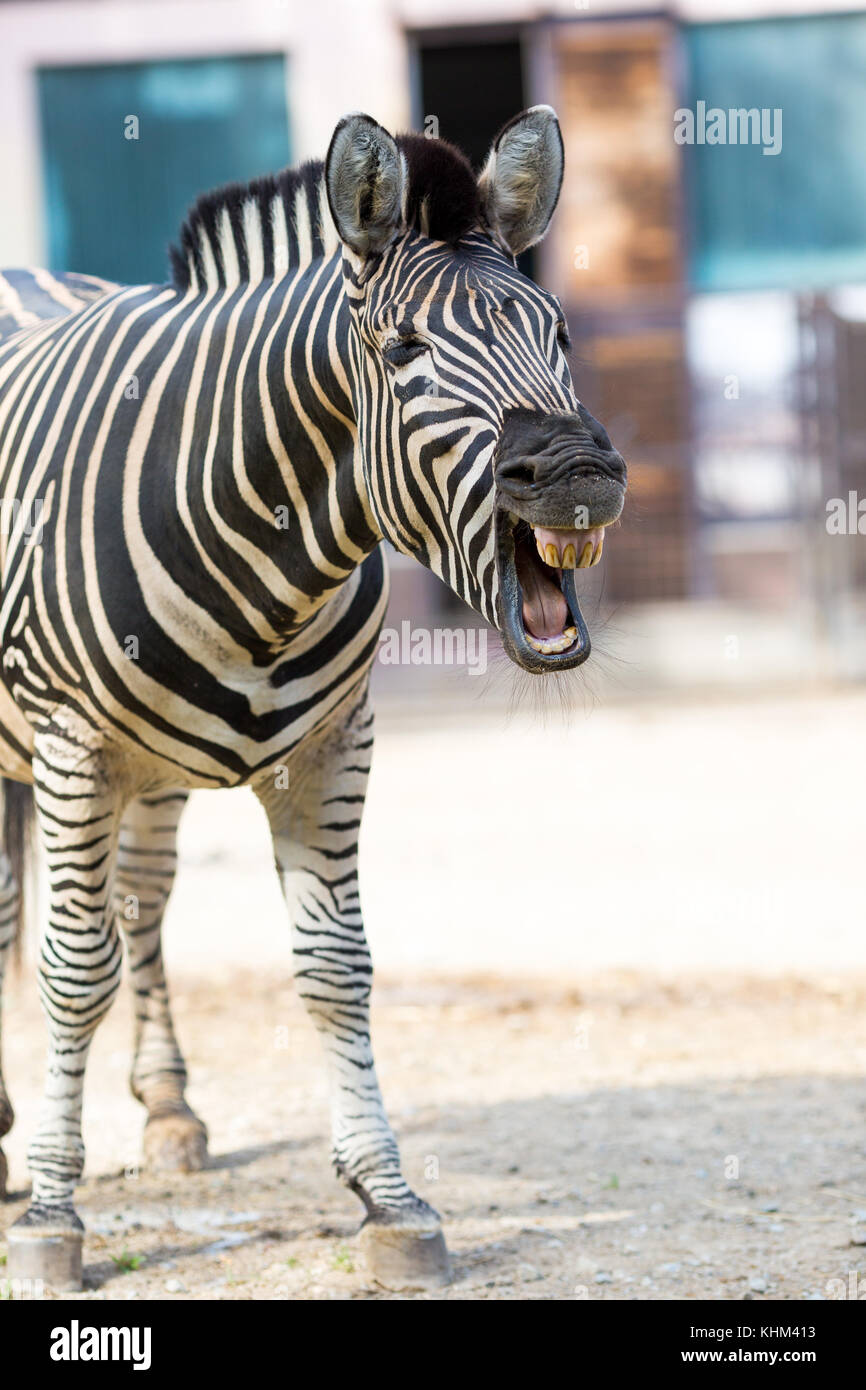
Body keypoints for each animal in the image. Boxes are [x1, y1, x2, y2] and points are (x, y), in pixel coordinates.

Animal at [0, 107, 627, 1291]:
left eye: (558, 335)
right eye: (403, 351)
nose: (580, 473)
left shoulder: (332, 746)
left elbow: (337, 966)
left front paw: (389, 1198)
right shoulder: (71, 744)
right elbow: (68, 969)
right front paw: (54, 1213)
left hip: (148, 767)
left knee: (139, 898)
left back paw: (165, 1111)